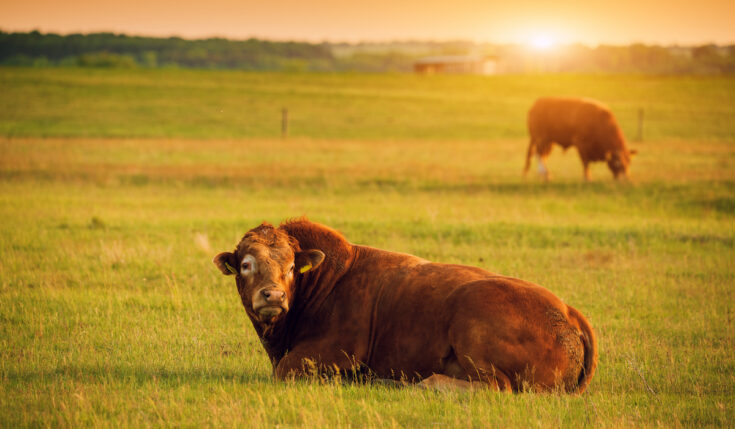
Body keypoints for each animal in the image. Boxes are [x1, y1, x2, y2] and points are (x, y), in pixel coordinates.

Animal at [213, 219, 598, 393]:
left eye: (292, 266)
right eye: (246, 264)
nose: (274, 296)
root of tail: (568, 312)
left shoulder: (332, 354)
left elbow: (285, 370)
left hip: (472, 329)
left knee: (495, 386)